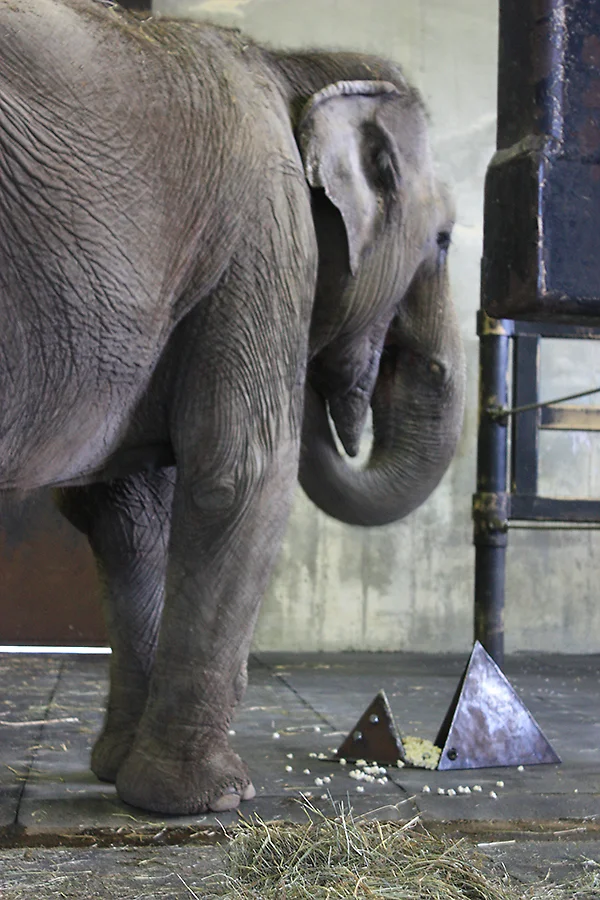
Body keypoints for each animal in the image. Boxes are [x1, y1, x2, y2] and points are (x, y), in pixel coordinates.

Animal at [0, 0, 465, 814]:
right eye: (442, 240)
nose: (338, 385)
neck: (295, 67)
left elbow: (122, 511)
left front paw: (118, 776)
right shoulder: (261, 232)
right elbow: (242, 472)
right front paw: (208, 801)